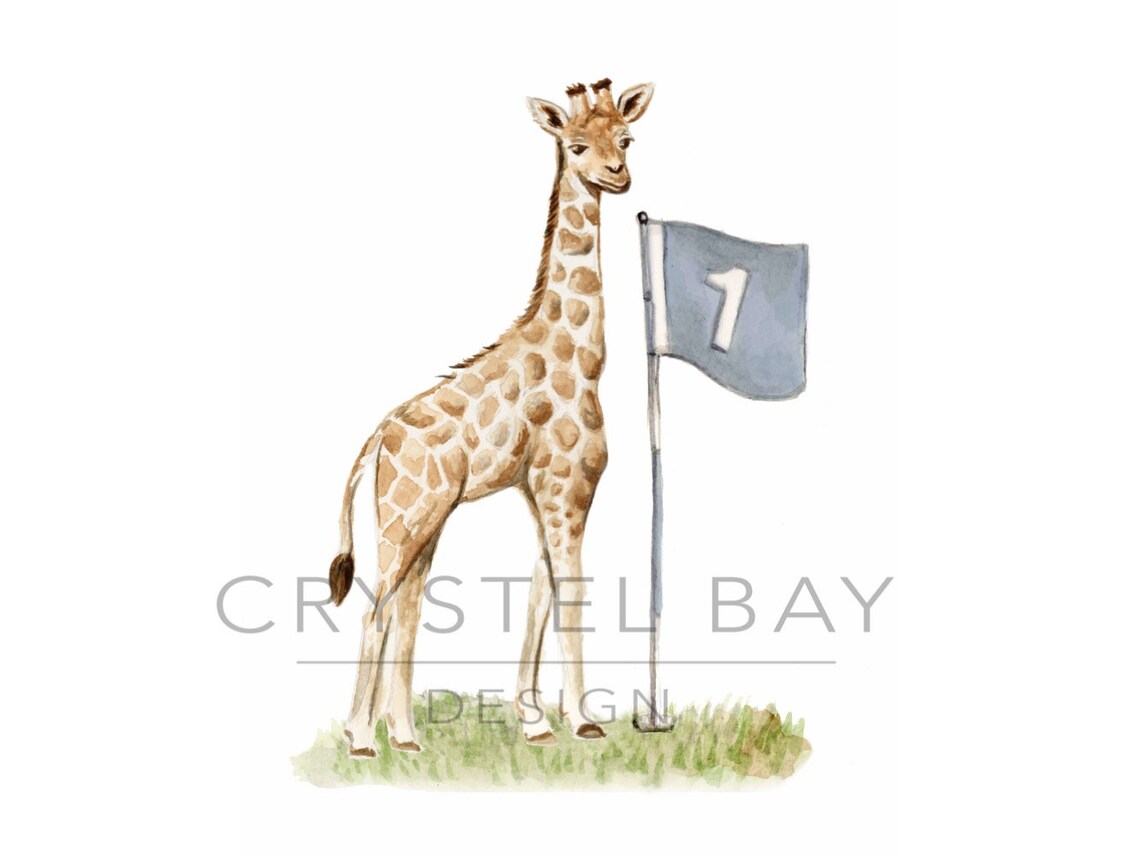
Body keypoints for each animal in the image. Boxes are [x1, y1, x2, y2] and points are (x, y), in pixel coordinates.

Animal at [327, 78, 654, 757]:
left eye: (627, 138)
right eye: (575, 144)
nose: (618, 176)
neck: (585, 357)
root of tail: (376, 440)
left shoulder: (546, 492)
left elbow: (537, 595)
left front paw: (536, 723)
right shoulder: (565, 489)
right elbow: (571, 597)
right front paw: (584, 720)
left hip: (426, 519)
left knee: (407, 609)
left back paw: (403, 736)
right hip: (405, 517)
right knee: (377, 608)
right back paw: (361, 739)